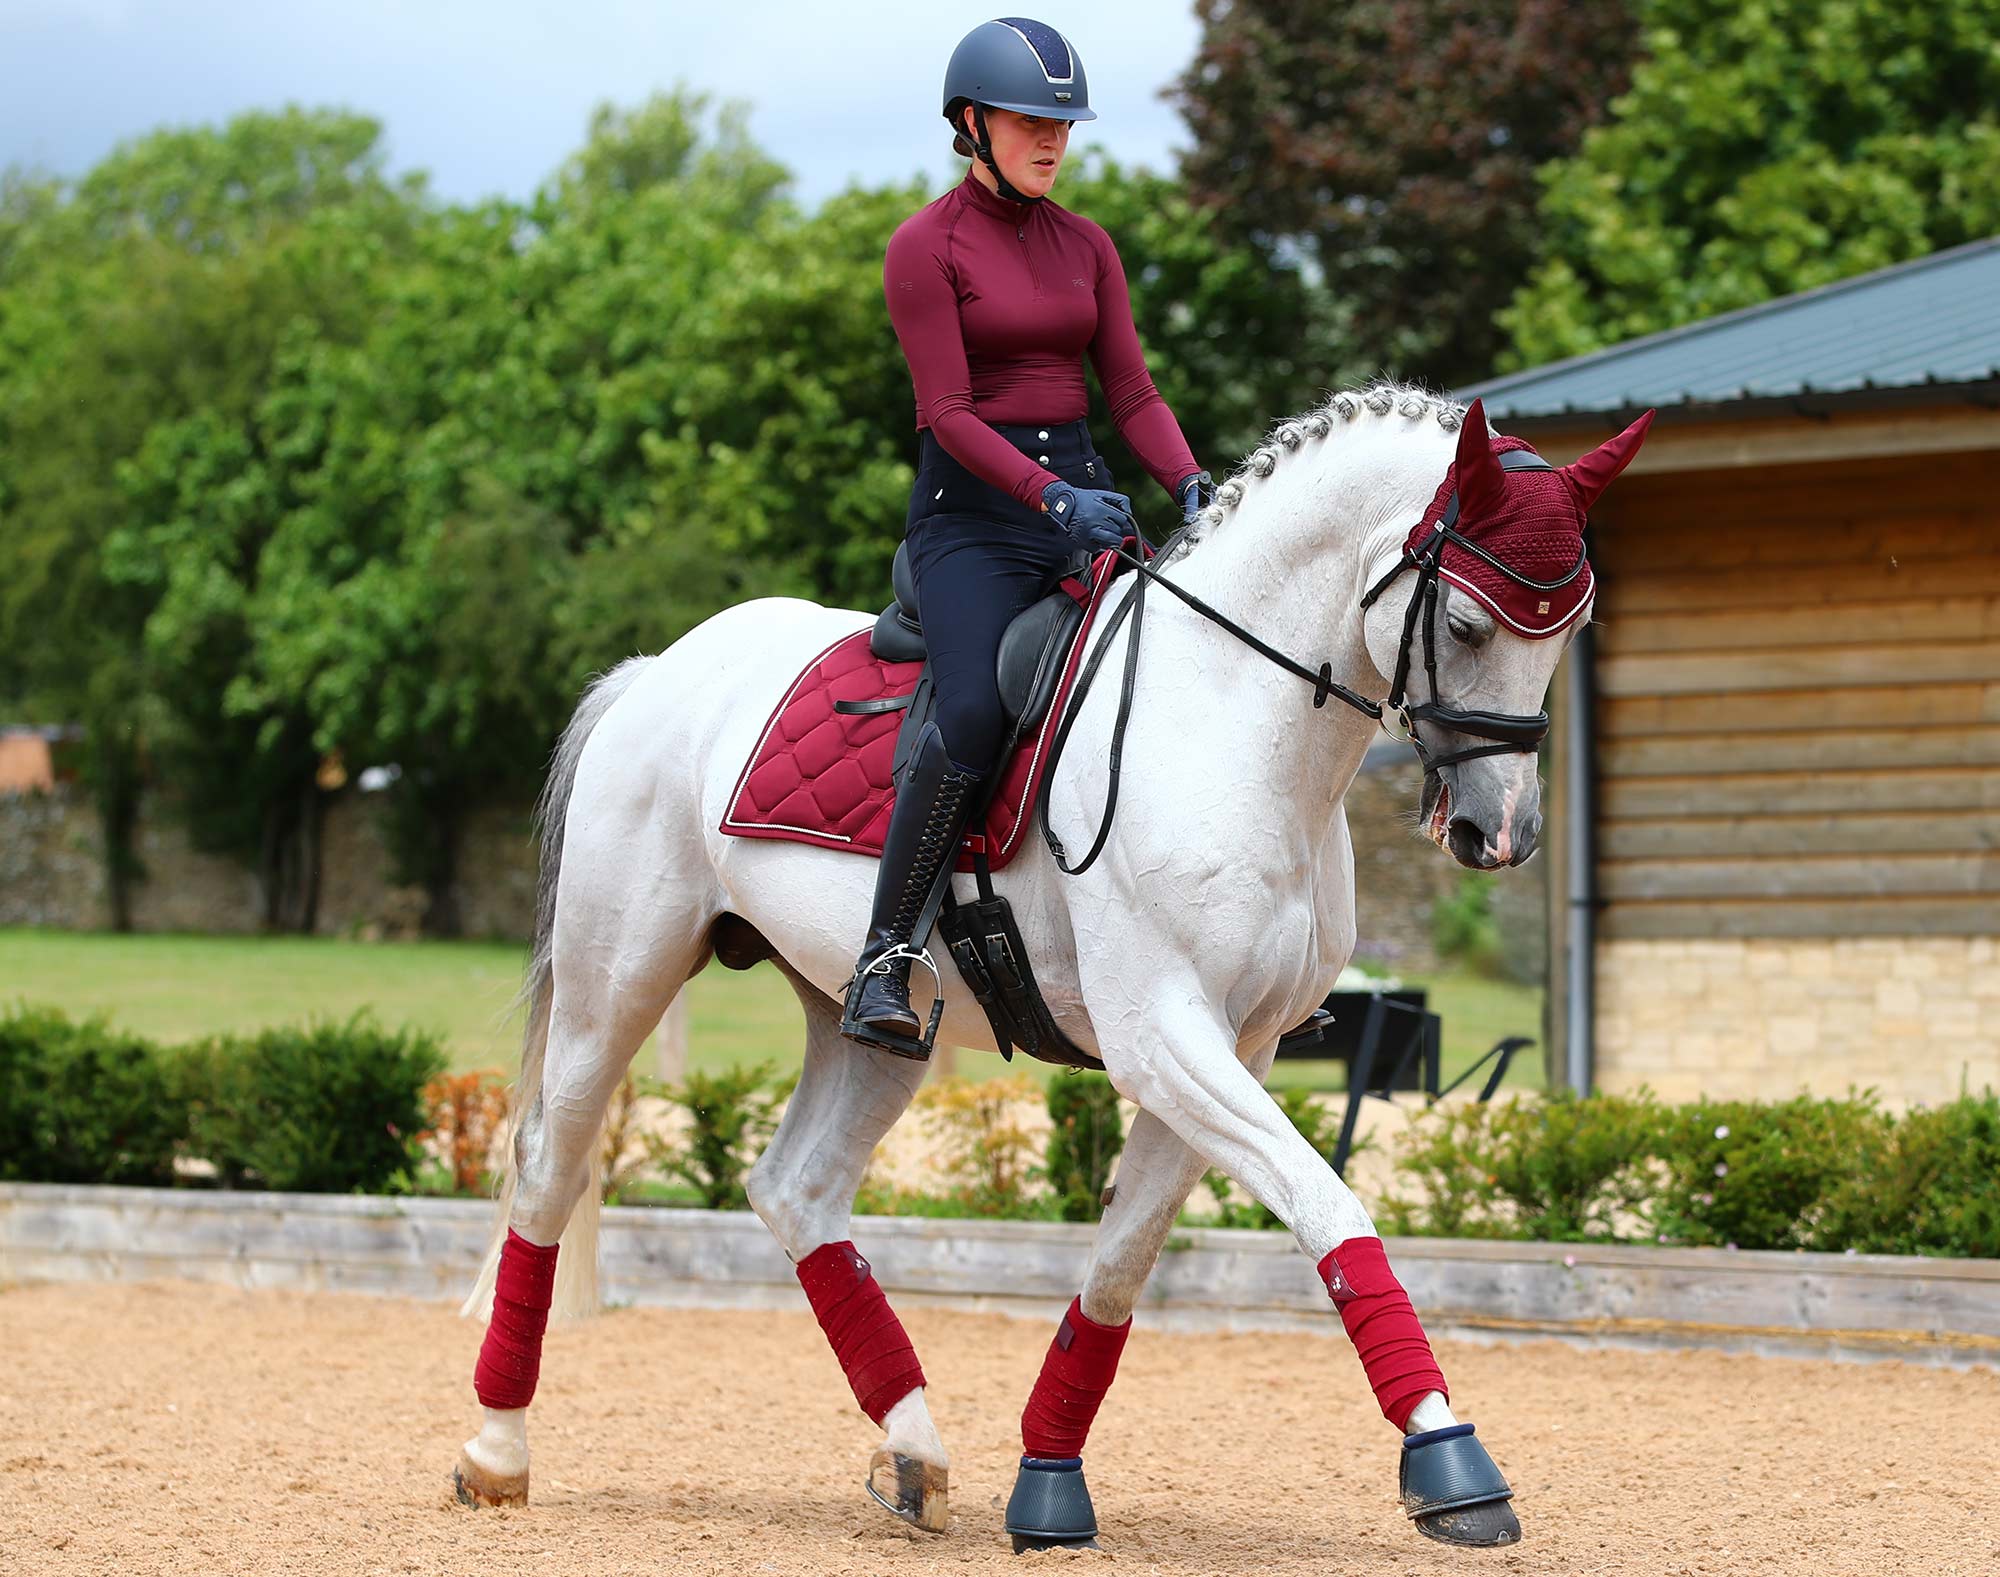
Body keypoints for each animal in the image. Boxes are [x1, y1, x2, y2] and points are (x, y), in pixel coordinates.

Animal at [450, 383, 1652, 1551]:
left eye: (1576, 625)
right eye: (1462, 620)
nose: (1499, 833)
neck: (1228, 718)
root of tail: (659, 669)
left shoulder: (1237, 1044)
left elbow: (1120, 1265)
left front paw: (1048, 1483)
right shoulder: (1162, 1032)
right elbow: (1329, 1206)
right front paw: (1449, 1461)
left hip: (867, 1021)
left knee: (794, 1188)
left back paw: (914, 1451)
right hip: (619, 977)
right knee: (550, 1163)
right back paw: (495, 1450)